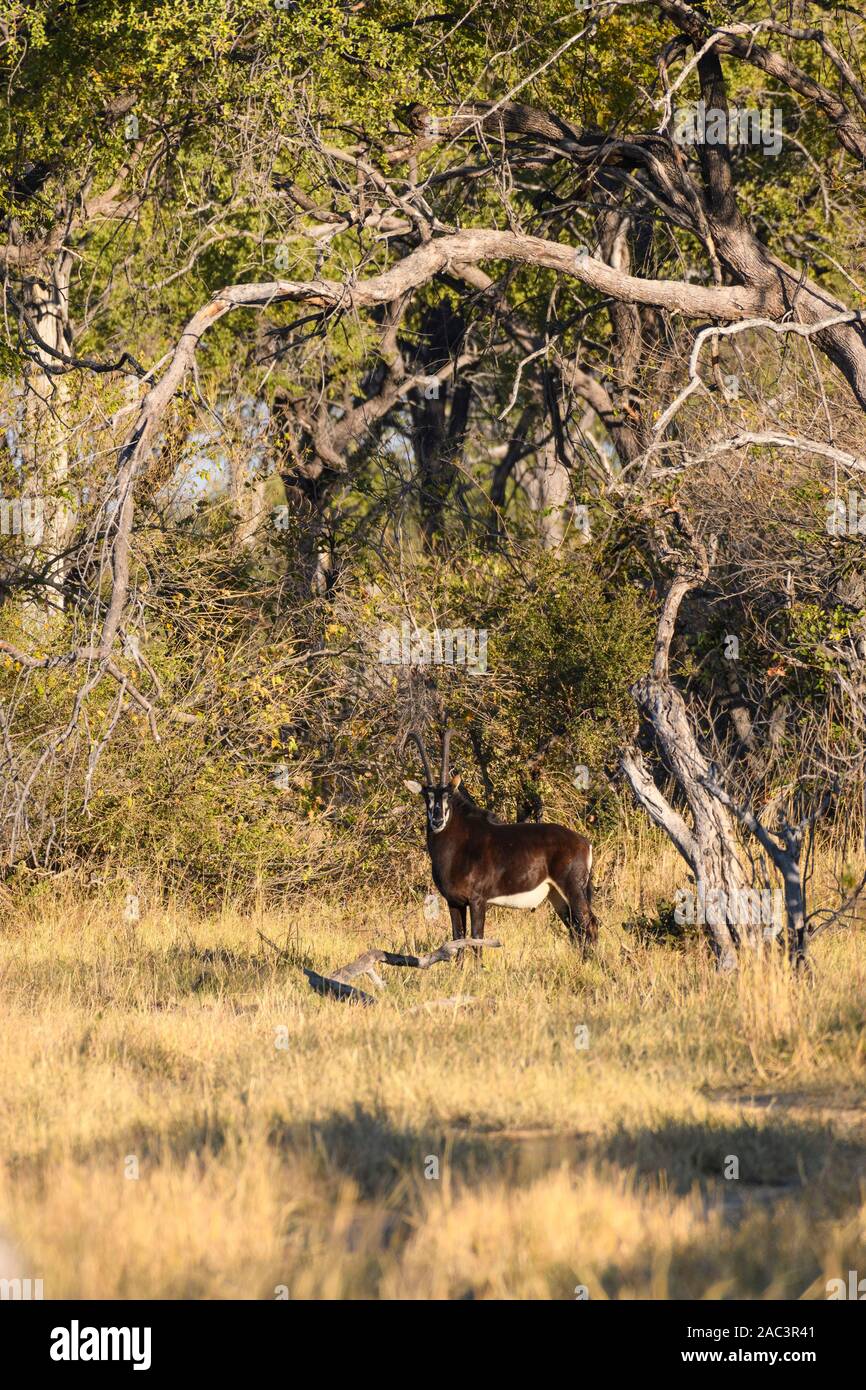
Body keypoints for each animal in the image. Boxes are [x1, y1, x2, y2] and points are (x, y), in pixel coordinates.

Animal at [403, 728, 598, 956]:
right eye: (427, 797)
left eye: (448, 796)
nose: (437, 820)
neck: (458, 844)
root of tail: (584, 842)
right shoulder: (454, 901)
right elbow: (458, 940)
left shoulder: (477, 900)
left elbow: (476, 940)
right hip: (556, 895)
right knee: (576, 929)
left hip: (573, 889)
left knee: (589, 924)